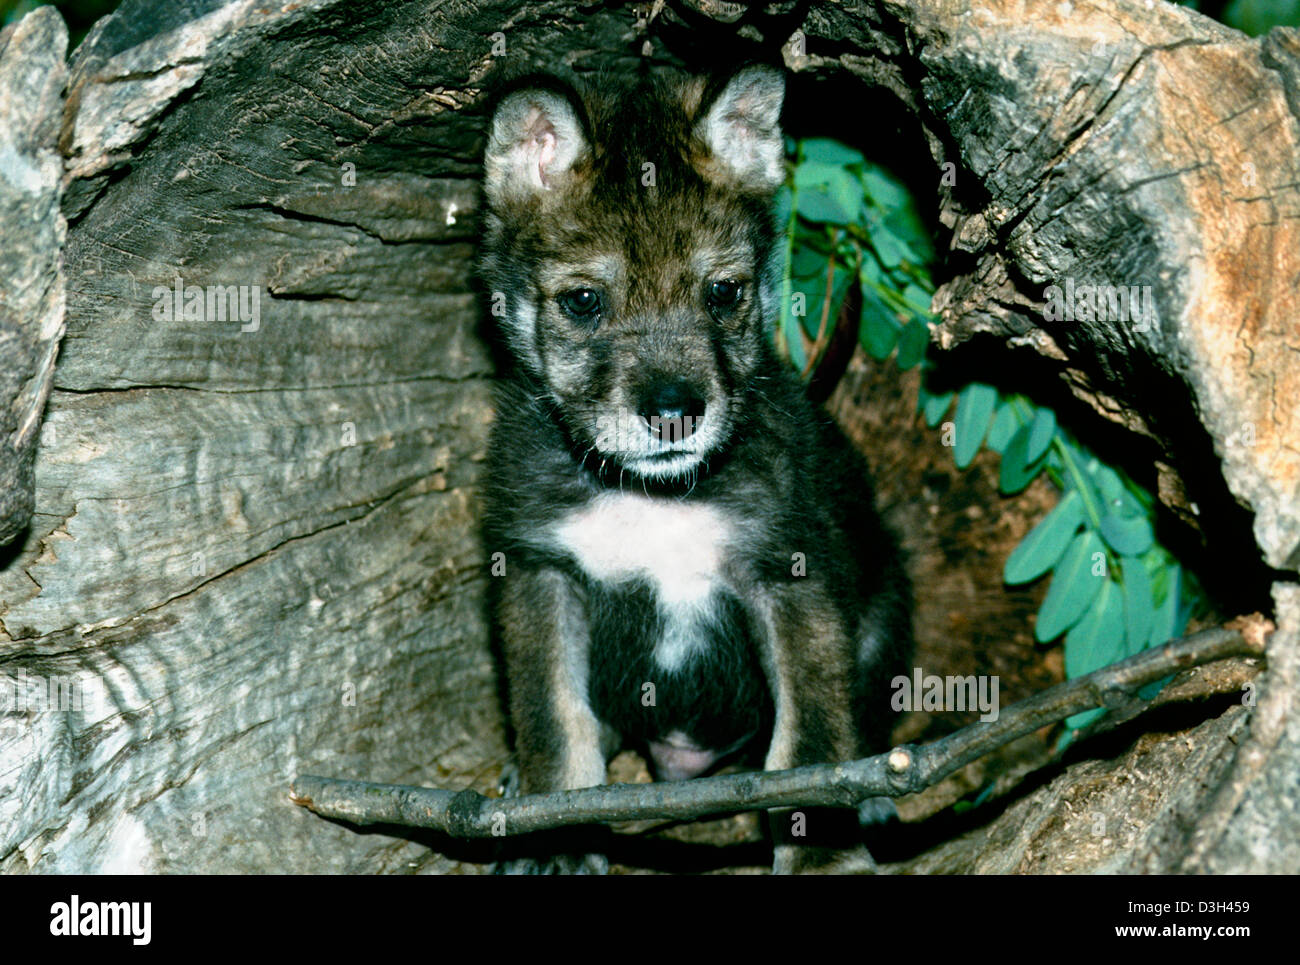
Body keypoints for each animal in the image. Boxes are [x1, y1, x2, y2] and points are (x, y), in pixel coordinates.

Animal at [478, 63, 912, 873]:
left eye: (724, 291)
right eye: (583, 301)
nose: (676, 411)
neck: (657, 499)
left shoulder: (789, 578)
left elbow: (809, 744)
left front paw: (824, 852)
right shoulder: (541, 574)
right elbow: (556, 725)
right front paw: (555, 835)